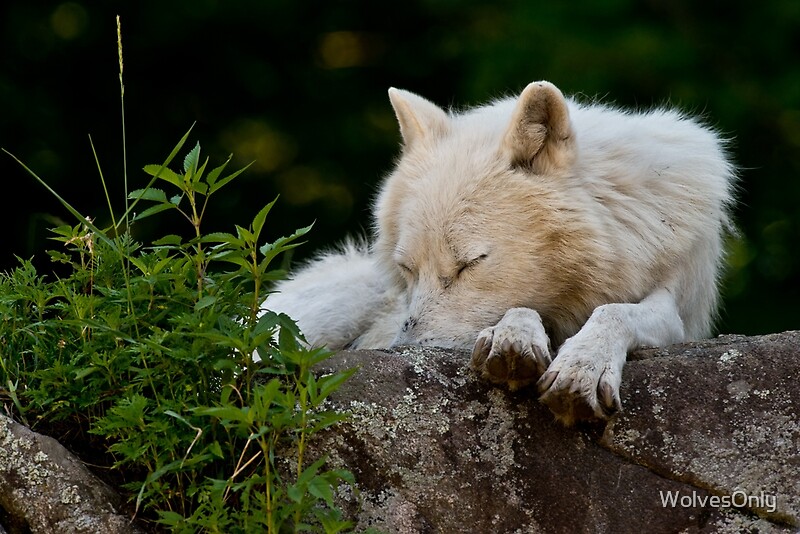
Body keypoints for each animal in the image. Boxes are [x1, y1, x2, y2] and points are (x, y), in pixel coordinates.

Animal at [266, 81, 736, 425]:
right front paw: (513, 339)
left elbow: (615, 313)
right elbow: (520, 312)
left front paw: (583, 367)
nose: (398, 351)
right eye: (408, 270)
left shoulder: (679, 305)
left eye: (470, 264)